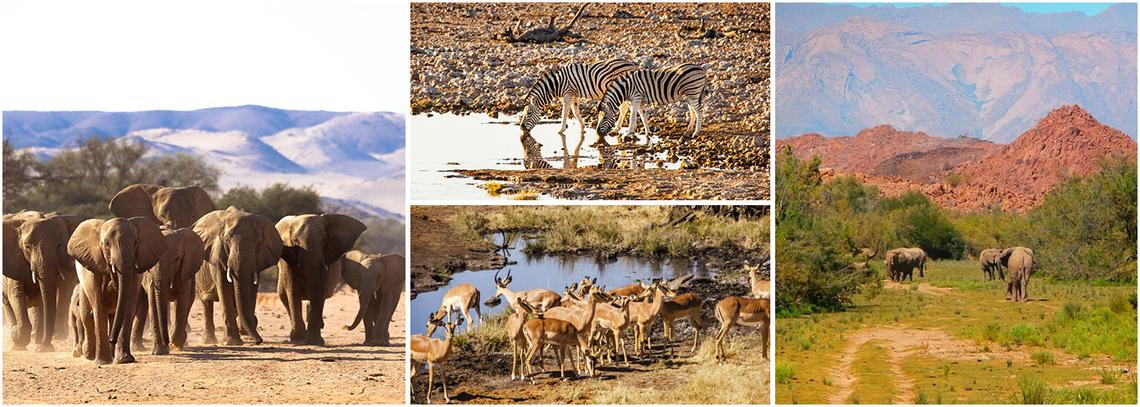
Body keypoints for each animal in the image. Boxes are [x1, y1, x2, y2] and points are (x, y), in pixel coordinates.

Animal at [2, 211, 83, 351]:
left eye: (58, 245)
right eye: (27, 246)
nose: (45, 347)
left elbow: (42, 299)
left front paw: (41, 346)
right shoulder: (15, 264)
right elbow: (16, 295)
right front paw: (18, 341)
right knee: (7, 303)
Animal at [67, 217, 168, 364]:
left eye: (135, 242)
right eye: (106, 244)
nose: (112, 340)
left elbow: (129, 305)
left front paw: (124, 360)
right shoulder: (94, 266)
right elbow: (98, 306)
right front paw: (103, 362)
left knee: (113, 316)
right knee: (87, 316)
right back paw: (89, 355)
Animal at [194, 207, 283, 346]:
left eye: (258, 244)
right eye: (227, 241)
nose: (259, 341)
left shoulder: (257, 261)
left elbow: (251, 290)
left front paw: (245, 331)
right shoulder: (217, 254)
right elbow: (224, 289)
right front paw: (231, 342)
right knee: (206, 304)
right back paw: (208, 341)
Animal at [275, 214, 366, 345]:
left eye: (323, 240)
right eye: (295, 241)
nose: (345, 327)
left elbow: (320, 291)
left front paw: (314, 341)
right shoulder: (287, 261)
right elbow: (292, 291)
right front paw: (298, 339)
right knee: (284, 297)